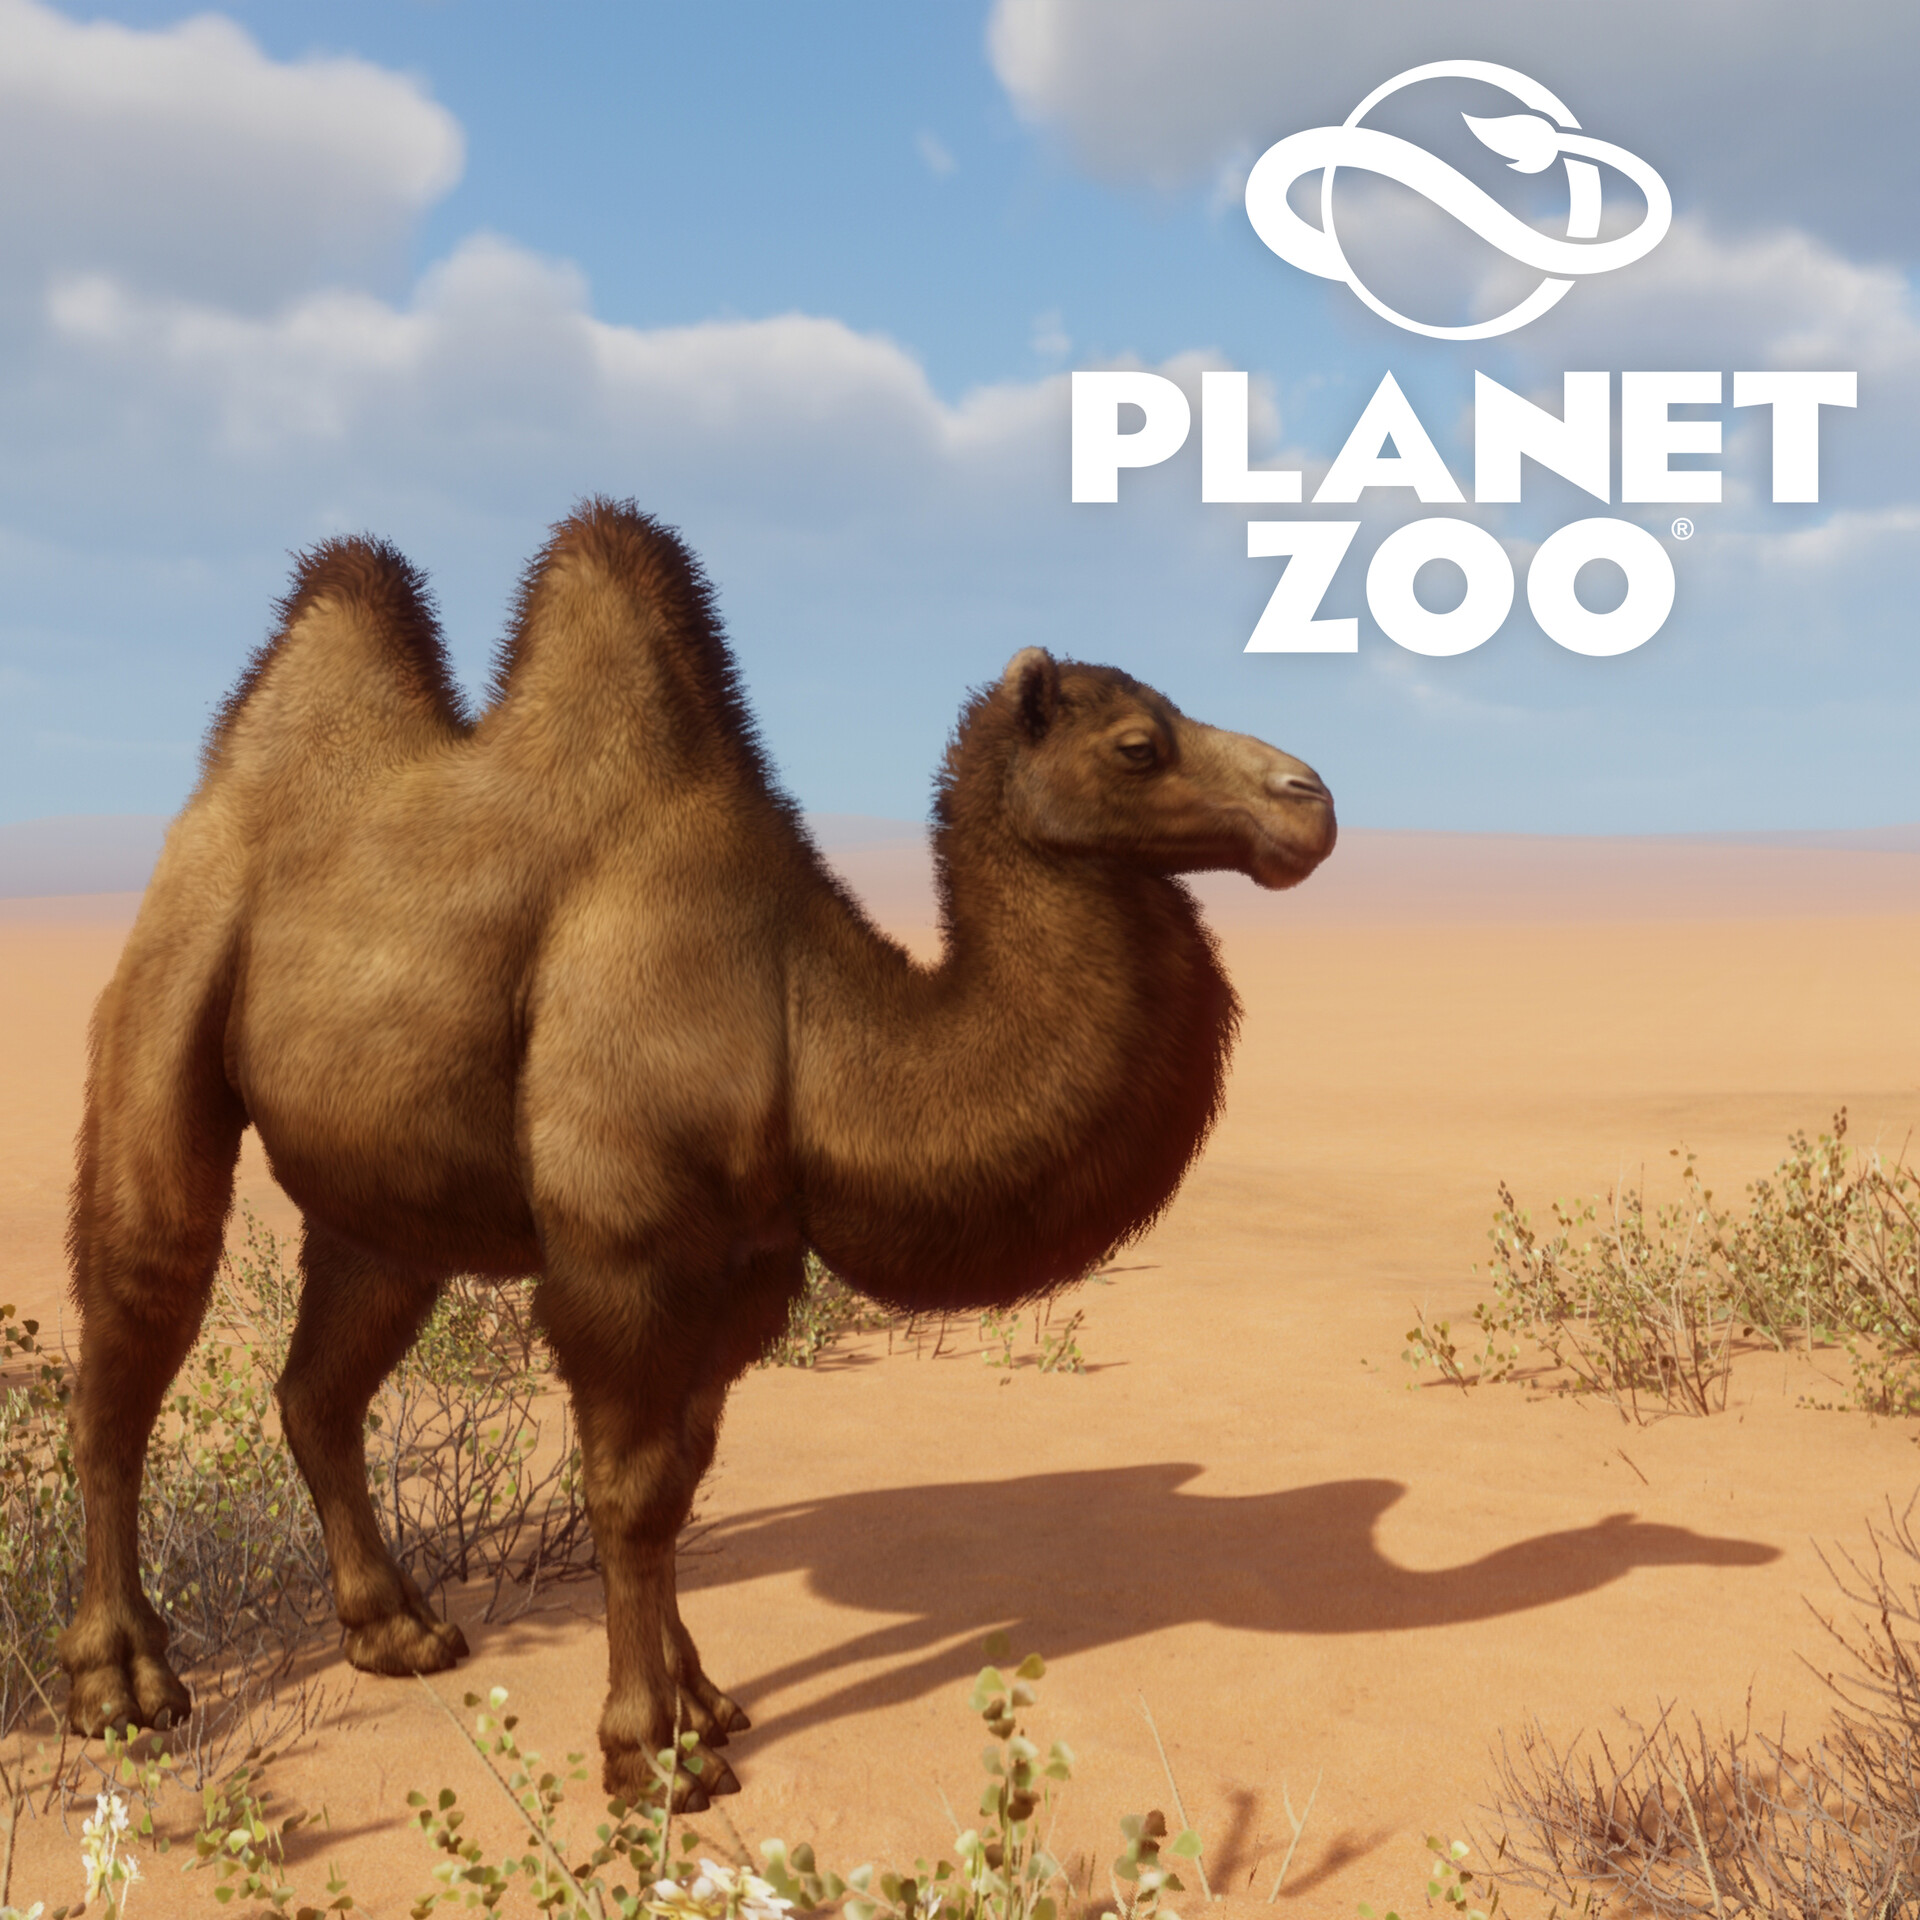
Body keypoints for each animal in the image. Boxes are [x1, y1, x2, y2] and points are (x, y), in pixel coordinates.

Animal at [56, 500, 1336, 1808]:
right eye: (1138, 745)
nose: (1310, 800)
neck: (802, 1012)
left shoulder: (746, 1261)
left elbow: (684, 1471)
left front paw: (705, 1711)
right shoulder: (626, 1250)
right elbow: (629, 1489)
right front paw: (645, 1753)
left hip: (385, 1198)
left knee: (321, 1382)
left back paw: (395, 1632)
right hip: (168, 990)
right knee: (131, 1328)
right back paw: (123, 1687)